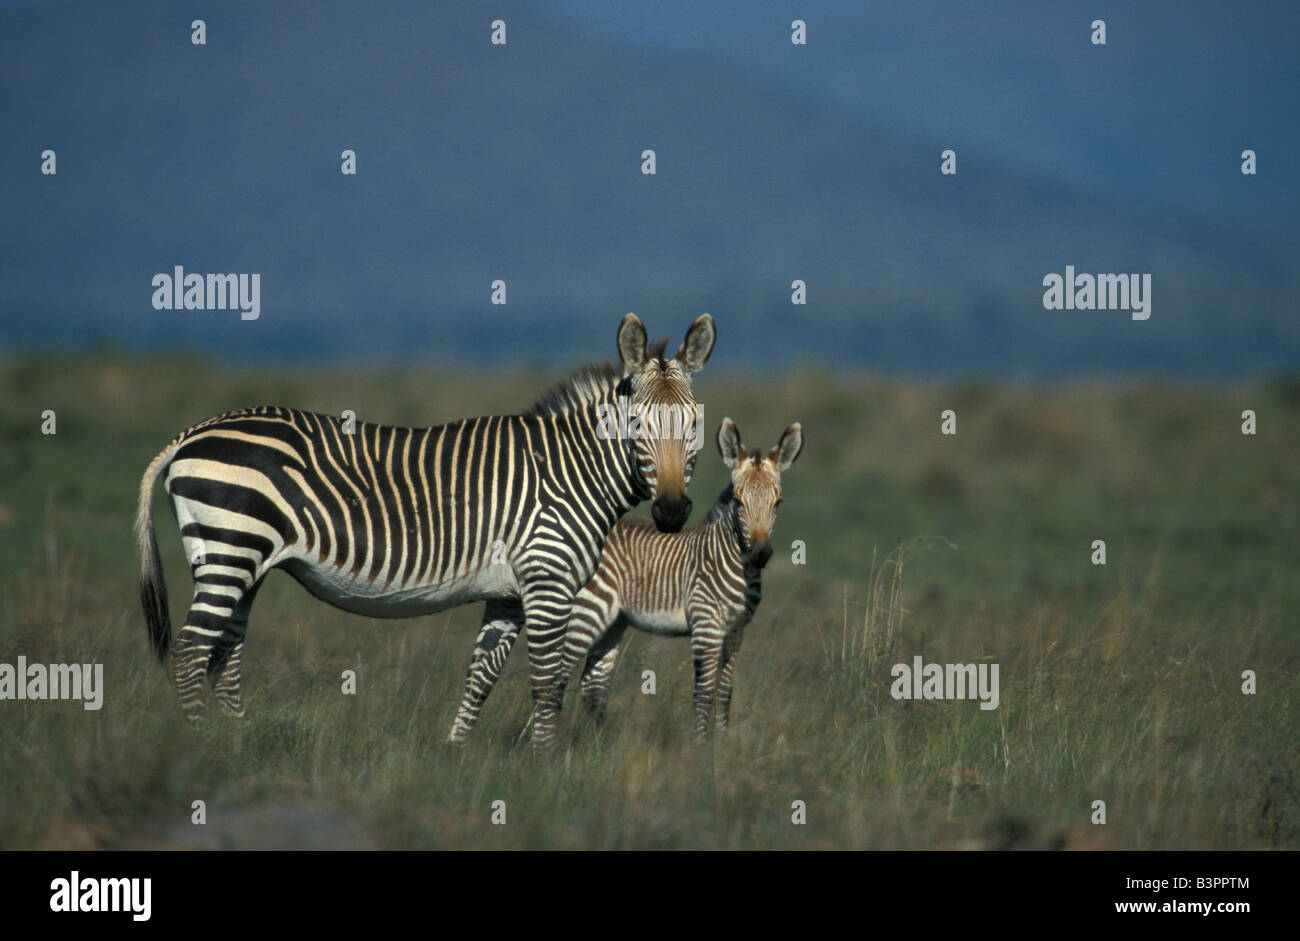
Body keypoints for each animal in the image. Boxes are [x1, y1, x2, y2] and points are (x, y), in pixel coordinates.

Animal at [135, 313, 716, 749]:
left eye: (694, 425)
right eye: (637, 424)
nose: (671, 511)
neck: (569, 471)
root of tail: (192, 432)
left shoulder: (510, 592)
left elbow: (482, 675)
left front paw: (457, 752)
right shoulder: (547, 582)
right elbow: (548, 682)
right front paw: (547, 763)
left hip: (242, 561)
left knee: (225, 653)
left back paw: (234, 738)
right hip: (231, 549)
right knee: (190, 653)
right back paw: (202, 745)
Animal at [449, 417, 802, 743]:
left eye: (778, 503)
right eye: (739, 502)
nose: (761, 555)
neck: (732, 561)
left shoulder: (736, 631)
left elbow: (726, 692)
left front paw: (723, 743)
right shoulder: (706, 626)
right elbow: (704, 693)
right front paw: (702, 749)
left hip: (612, 620)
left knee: (592, 684)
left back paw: (601, 747)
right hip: (585, 613)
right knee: (558, 678)